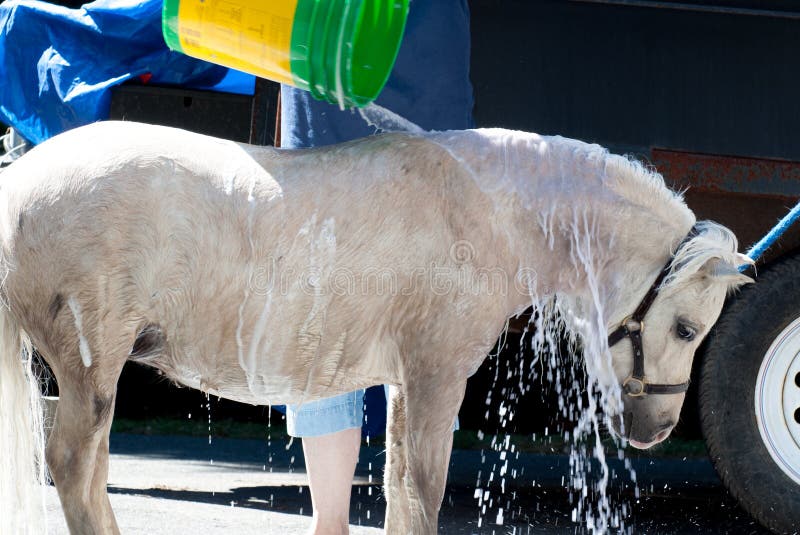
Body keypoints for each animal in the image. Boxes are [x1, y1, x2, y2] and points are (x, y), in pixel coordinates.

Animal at [0, 121, 750, 534]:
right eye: (687, 328)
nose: (657, 430)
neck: (493, 207)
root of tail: (19, 183)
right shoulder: (437, 374)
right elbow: (424, 493)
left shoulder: (403, 383)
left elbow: (396, 492)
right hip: (91, 363)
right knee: (74, 468)